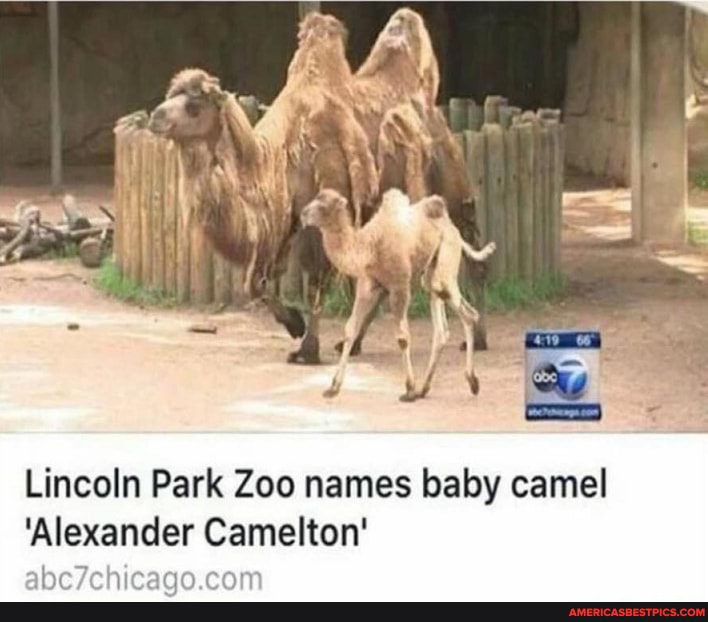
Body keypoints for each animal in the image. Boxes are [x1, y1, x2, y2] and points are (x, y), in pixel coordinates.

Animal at [301, 188, 495, 402]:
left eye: (323, 205)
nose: (302, 214)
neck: (371, 246)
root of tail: (455, 230)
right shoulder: (367, 285)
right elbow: (350, 330)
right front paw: (333, 388)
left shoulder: (399, 285)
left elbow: (402, 337)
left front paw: (409, 389)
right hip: (430, 274)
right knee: (441, 327)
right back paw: (425, 389)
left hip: (446, 261)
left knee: (467, 313)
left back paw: (472, 382)